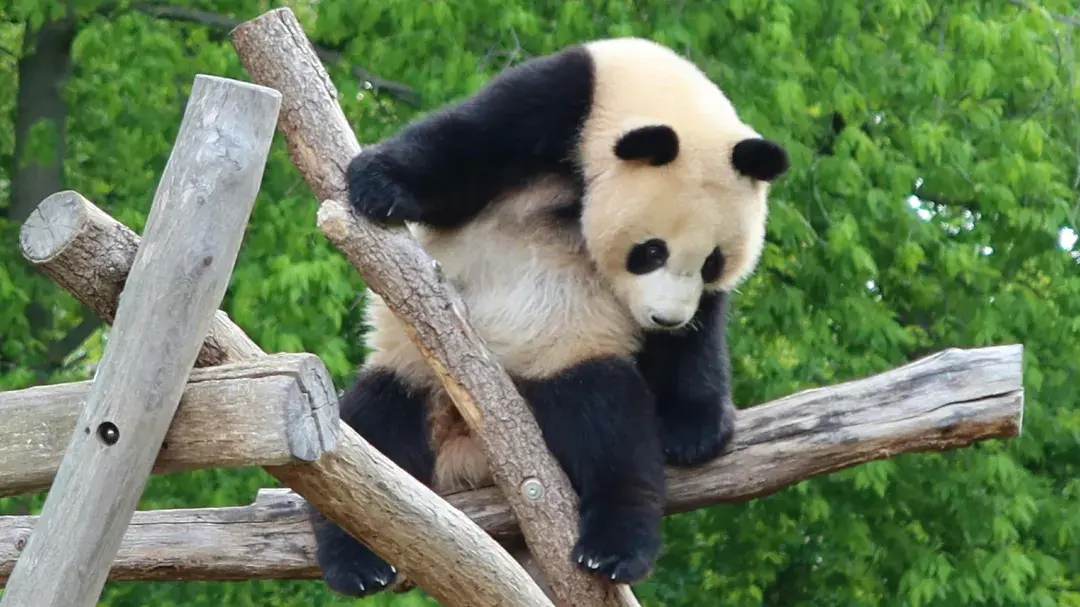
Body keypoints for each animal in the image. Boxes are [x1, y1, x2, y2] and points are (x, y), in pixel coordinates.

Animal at [313, 37, 790, 597]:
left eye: (712, 261)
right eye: (651, 251)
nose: (664, 318)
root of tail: (469, 457)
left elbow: (696, 340)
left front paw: (693, 430)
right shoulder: (562, 98)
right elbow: (463, 150)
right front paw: (377, 183)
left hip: (565, 356)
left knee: (608, 425)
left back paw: (612, 548)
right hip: (414, 367)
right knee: (370, 430)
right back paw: (357, 562)